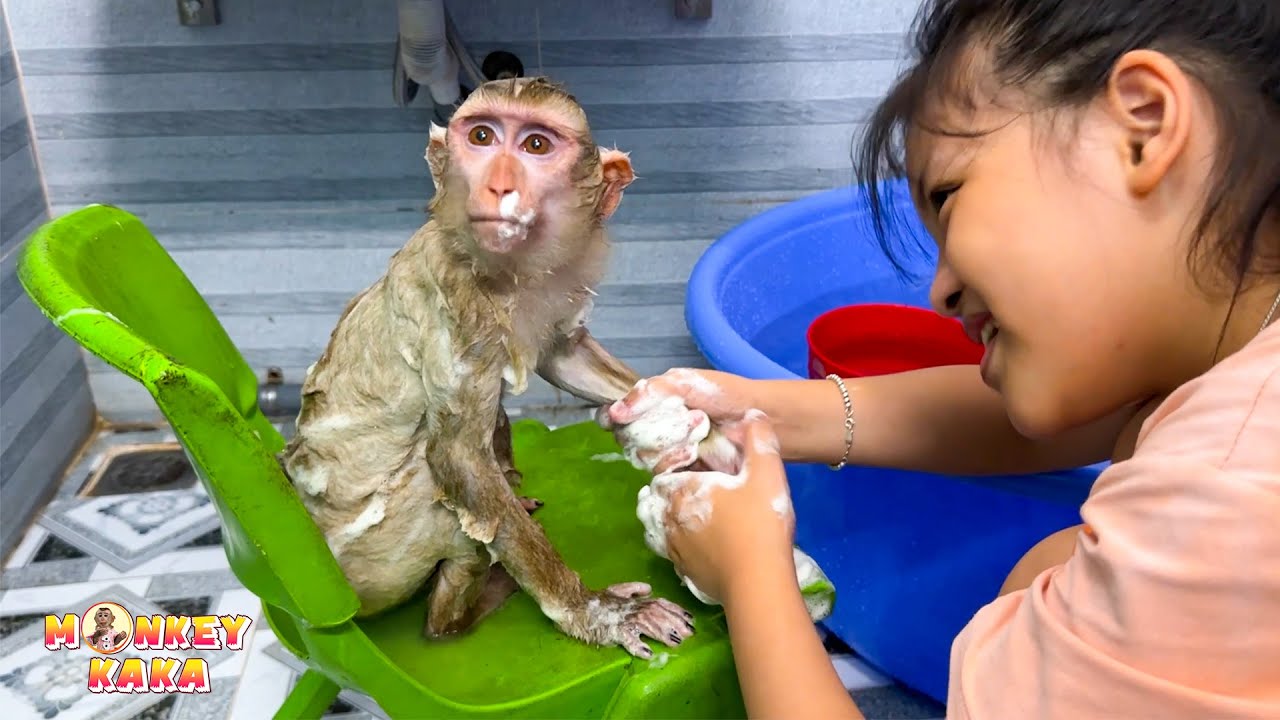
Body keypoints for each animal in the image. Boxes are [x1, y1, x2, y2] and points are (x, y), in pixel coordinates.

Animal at [280, 77, 697, 659]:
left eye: (536, 145)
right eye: (481, 136)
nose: (498, 187)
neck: (507, 275)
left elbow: (562, 353)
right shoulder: (454, 298)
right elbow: (458, 457)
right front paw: (593, 612)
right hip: (374, 564)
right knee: (443, 487)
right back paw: (461, 611)